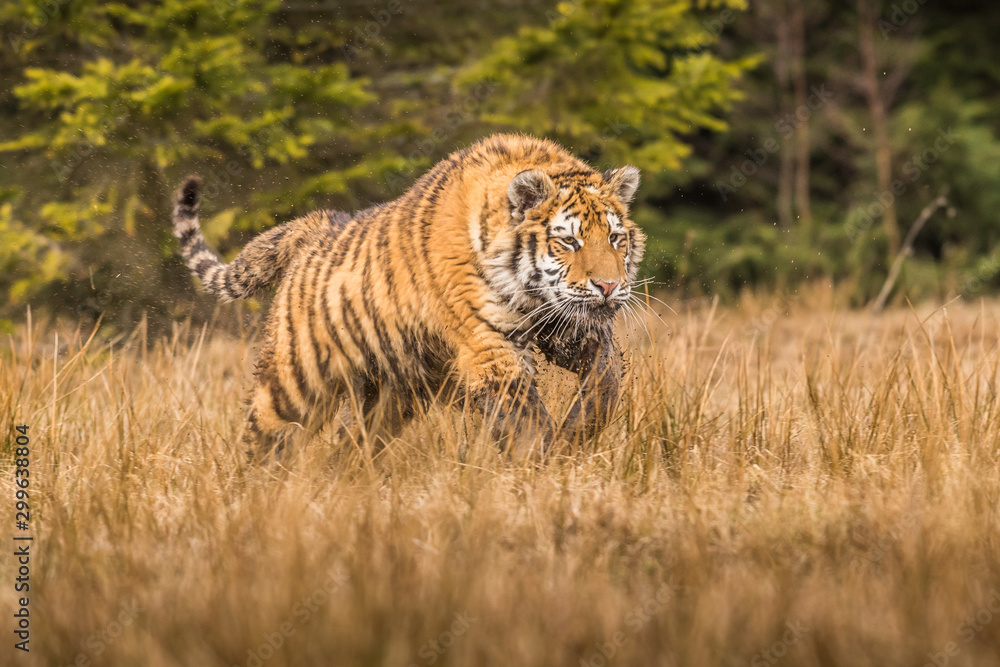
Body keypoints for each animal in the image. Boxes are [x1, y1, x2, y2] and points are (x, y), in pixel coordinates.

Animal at [172, 133, 646, 459]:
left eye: (615, 238)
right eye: (569, 242)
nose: (608, 287)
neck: (531, 295)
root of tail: (315, 225)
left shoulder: (571, 329)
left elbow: (606, 378)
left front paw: (576, 437)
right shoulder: (490, 347)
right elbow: (524, 417)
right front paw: (547, 465)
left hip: (389, 399)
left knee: (348, 450)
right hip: (295, 384)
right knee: (262, 439)